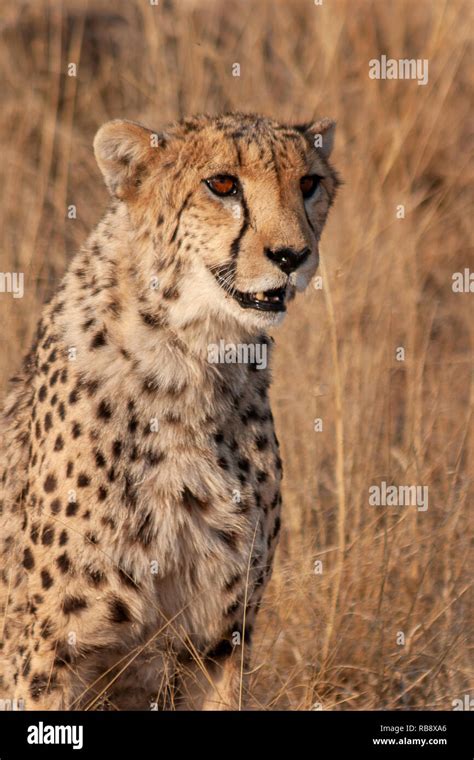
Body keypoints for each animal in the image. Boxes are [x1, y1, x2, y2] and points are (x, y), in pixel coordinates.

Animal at [0, 112, 339, 710]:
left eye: (308, 184)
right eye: (222, 184)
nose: (291, 256)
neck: (193, 361)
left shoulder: (219, 638)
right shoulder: (44, 654)